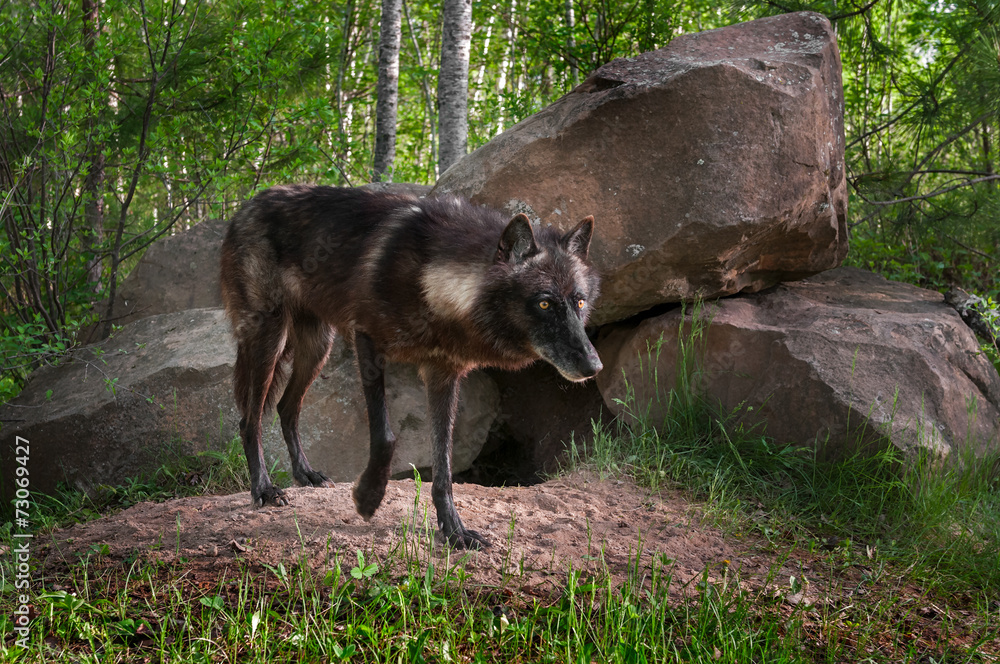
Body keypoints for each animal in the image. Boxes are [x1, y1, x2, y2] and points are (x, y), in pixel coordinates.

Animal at [220, 185, 602, 549]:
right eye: (544, 303)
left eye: (580, 302)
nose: (594, 366)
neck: (432, 284)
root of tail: (247, 205)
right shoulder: (367, 341)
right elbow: (385, 437)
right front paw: (367, 498)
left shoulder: (444, 375)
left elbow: (444, 465)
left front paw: (454, 530)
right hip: (270, 340)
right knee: (249, 420)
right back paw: (264, 488)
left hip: (317, 348)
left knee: (286, 407)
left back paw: (306, 475)